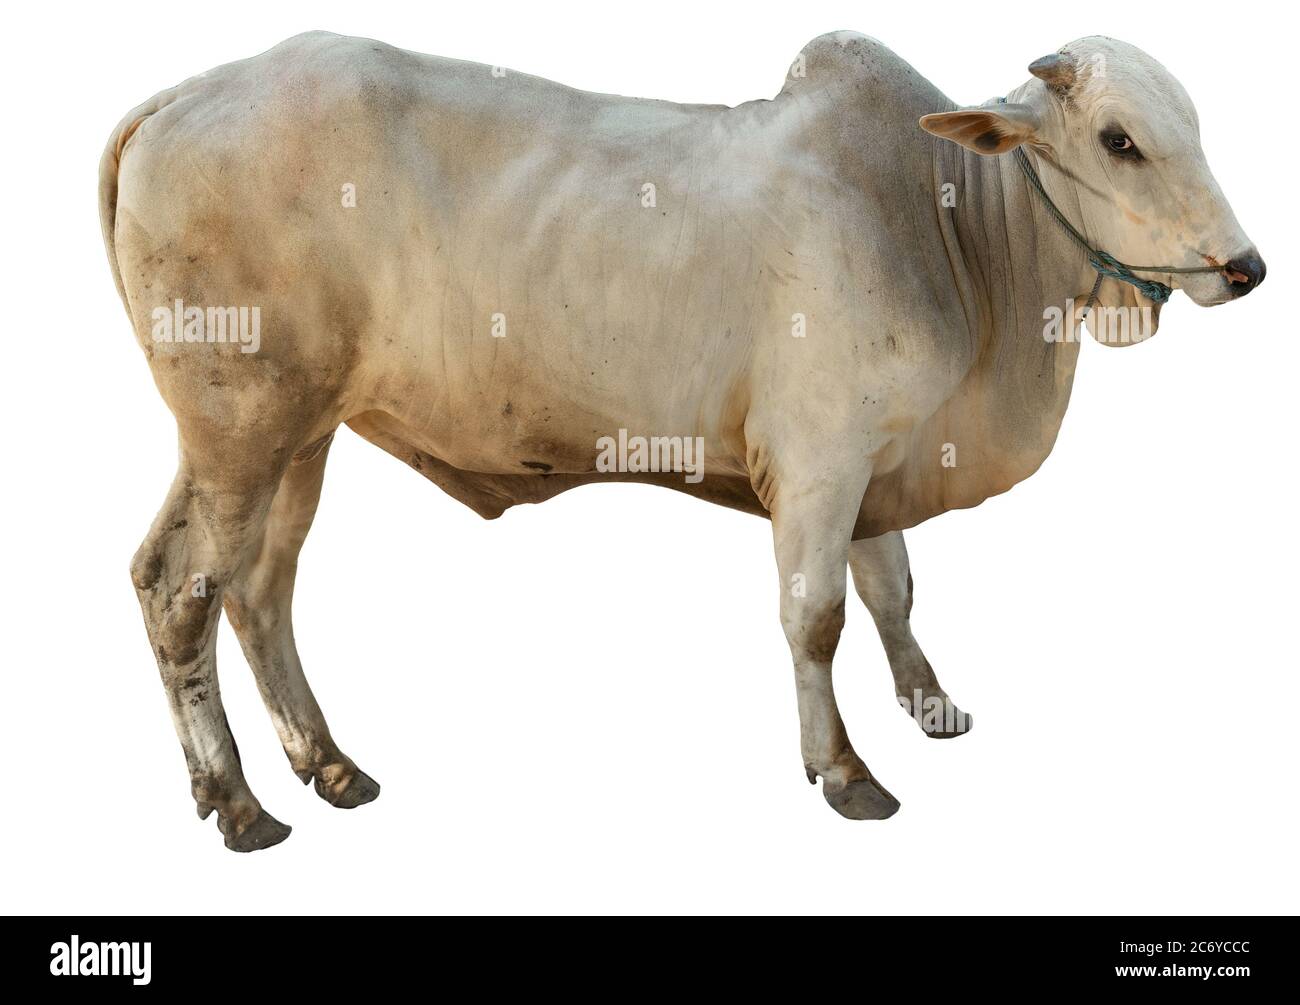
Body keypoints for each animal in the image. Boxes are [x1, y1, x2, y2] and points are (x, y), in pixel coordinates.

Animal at [100, 30, 1264, 850]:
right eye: (1119, 139)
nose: (1244, 266)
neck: (951, 230)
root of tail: (178, 97)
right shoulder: (819, 462)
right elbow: (817, 618)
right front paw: (844, 771)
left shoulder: (875, 464)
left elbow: (892, 593)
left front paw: (931, 705)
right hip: (237, 426)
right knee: (177, 586)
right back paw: (236, 801)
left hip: (299, 435)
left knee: (260, 589)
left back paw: (329, 763)